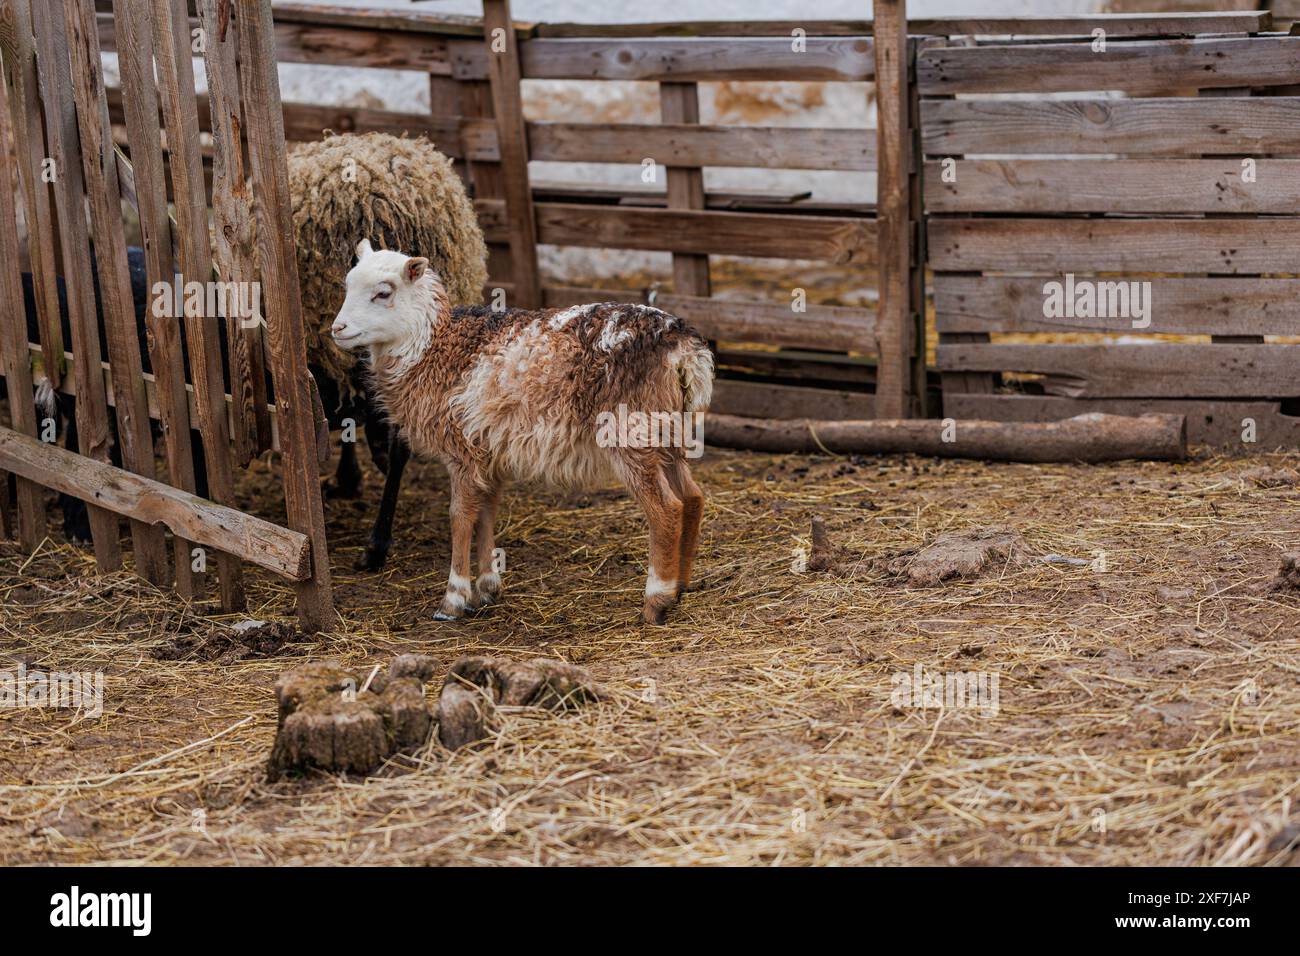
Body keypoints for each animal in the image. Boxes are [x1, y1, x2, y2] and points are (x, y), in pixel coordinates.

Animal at [331, 241, 714, 625]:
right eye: (347, 285)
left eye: (383, 293)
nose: (337, 328)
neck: (431, 347)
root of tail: (683, 345)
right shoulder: (488, 449)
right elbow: (486, 512)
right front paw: (487, 587)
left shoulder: (461, 449)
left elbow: (460, 517)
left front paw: (453, 599)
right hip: (667, 432)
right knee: (692, 497)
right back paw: (680, 587)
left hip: (631, 432)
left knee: (666, 509)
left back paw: (656, 600)